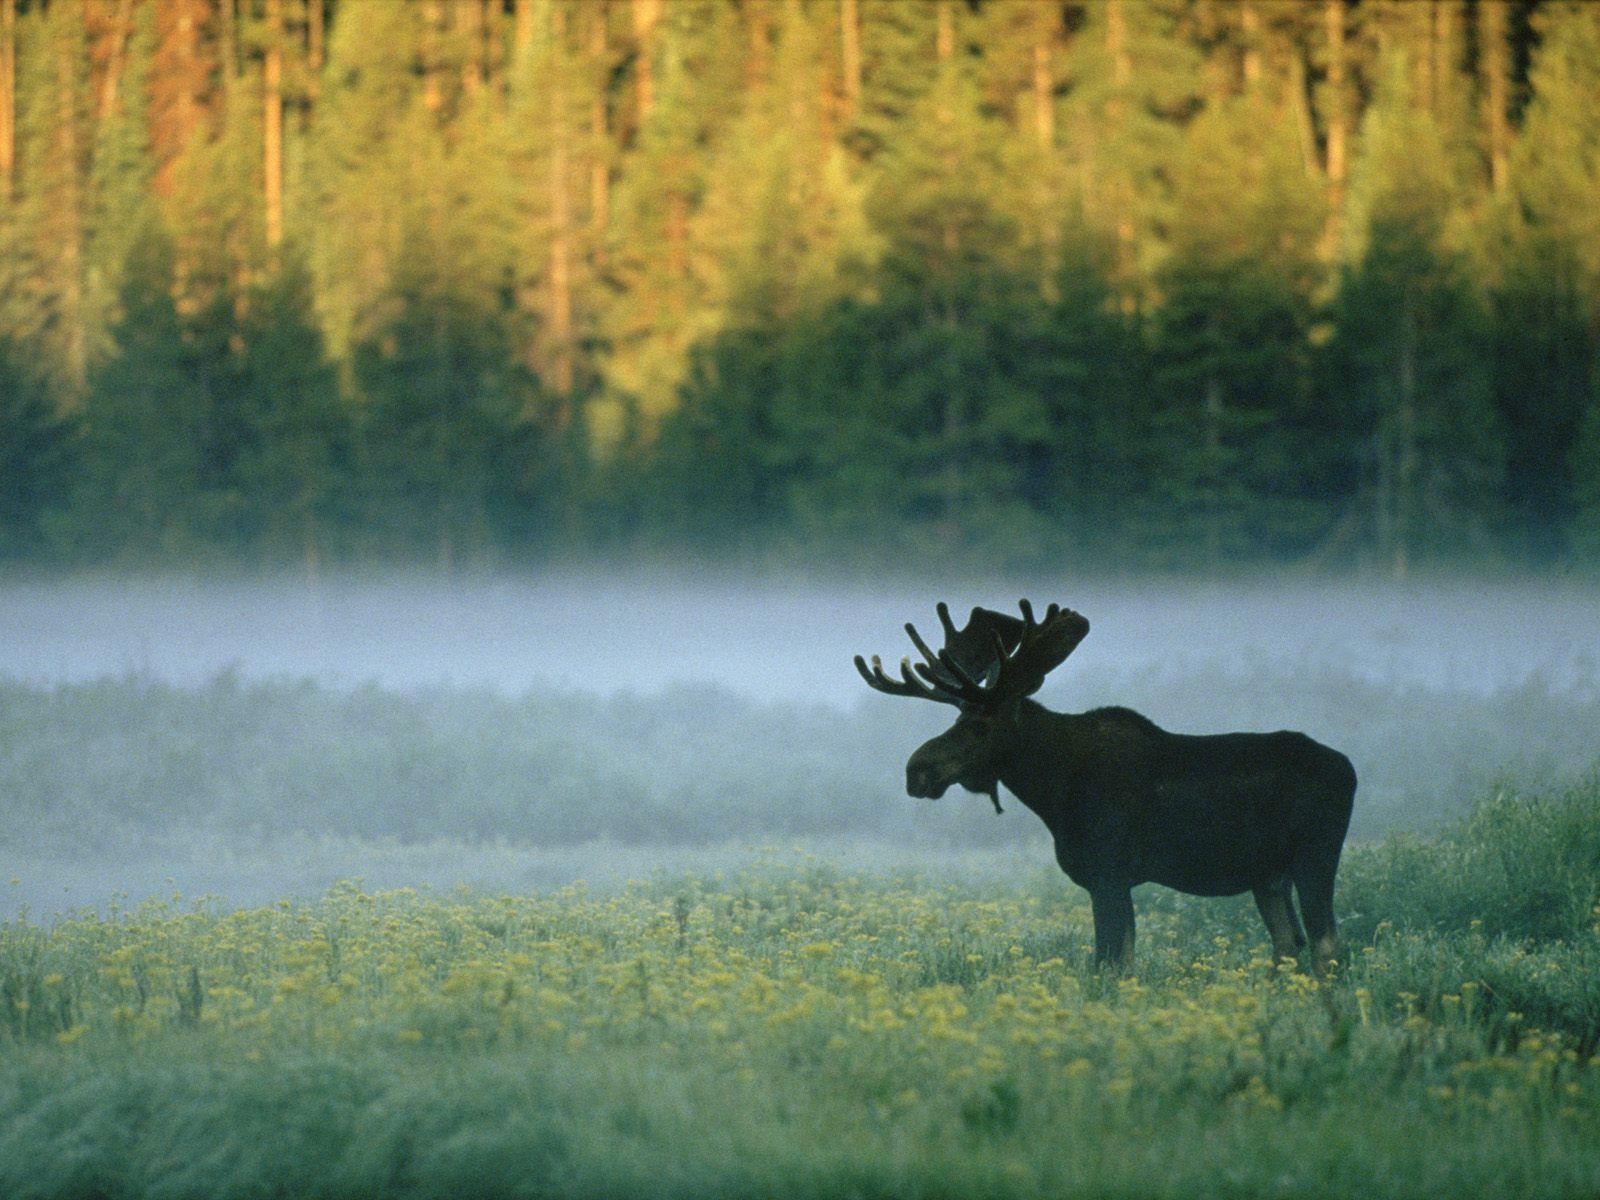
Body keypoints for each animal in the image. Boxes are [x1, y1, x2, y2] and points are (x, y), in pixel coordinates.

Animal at [855, 601, 1357, 974]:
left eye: (980, 725)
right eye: (956, 719)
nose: (917, 771)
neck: (1051, 791)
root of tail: (1351, 770)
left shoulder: (1109, 873)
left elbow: (1112, 965)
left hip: (1315, 856)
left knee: (1326, 943)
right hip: (1268, 876)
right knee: (1287, 945)